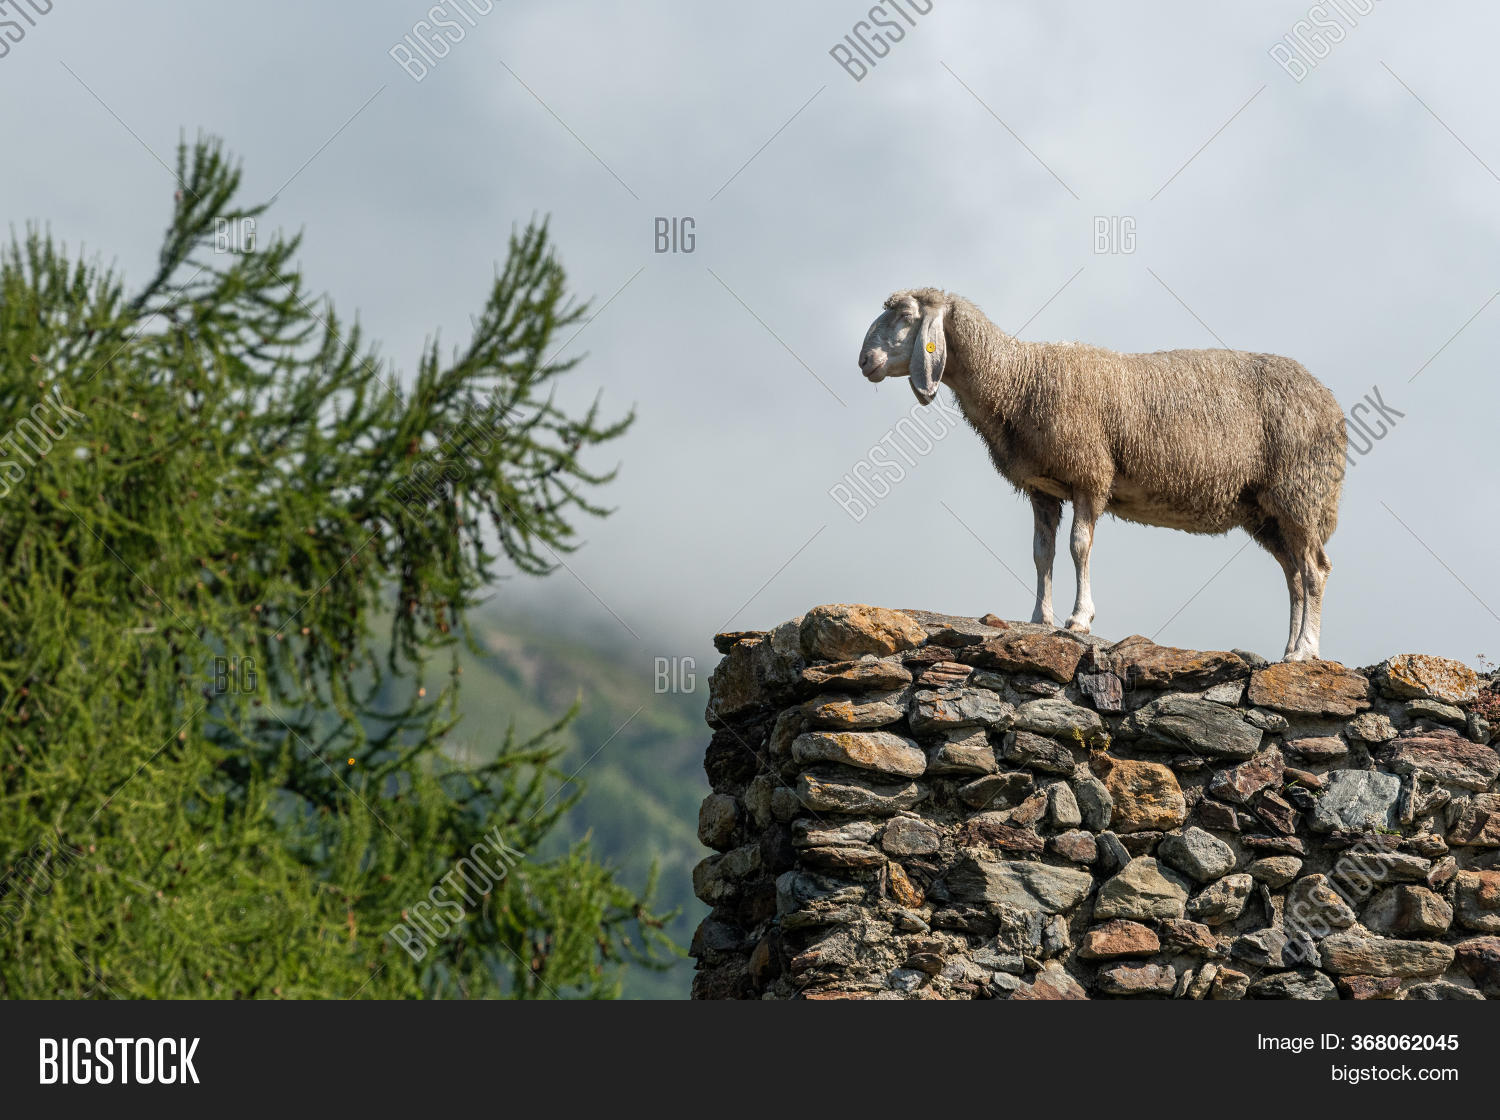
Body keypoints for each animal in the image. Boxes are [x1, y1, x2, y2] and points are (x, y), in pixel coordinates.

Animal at [857, 287, 1346, 661]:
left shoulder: (1090, 474)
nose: (864, 361)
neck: (1017, 380)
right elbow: (1042, 553)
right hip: (1266, 511)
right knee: (1294, 575)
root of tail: (1328, 400)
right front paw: (1039, 618)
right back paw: (1290, 650)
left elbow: (1079, 546)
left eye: (905, 317)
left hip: (1300, 490)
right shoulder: (1043, 488)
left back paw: (1305, 651)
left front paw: (1080, 619)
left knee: (1315, 570)